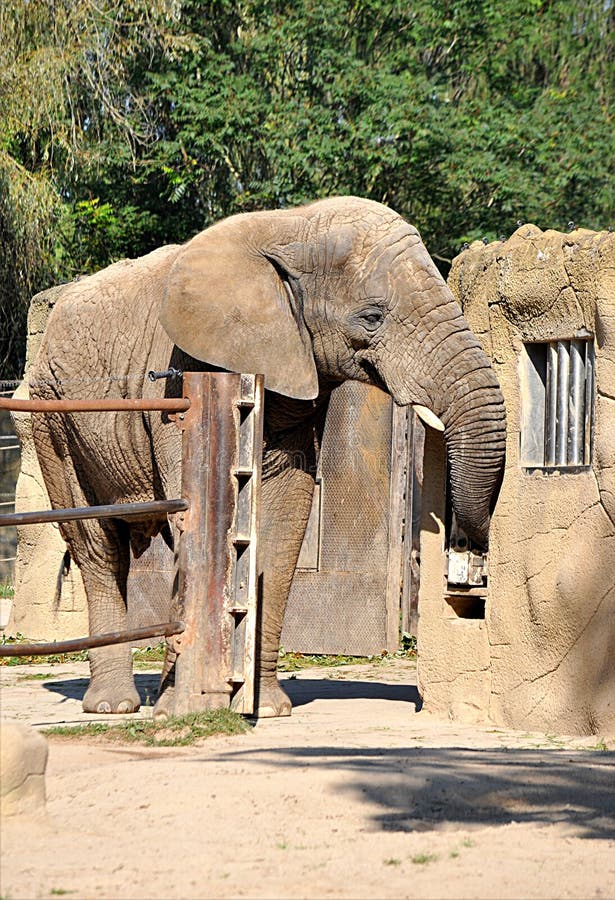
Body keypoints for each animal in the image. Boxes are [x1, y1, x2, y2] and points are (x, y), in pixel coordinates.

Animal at [29, 196, 506, 717]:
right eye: (372, 317)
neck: (290, 227)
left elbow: (284, 520)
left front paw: (268, 708)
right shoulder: (184, 375)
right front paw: (189, 707)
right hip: (50, 415)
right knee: (96, 544)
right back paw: (114, 707)